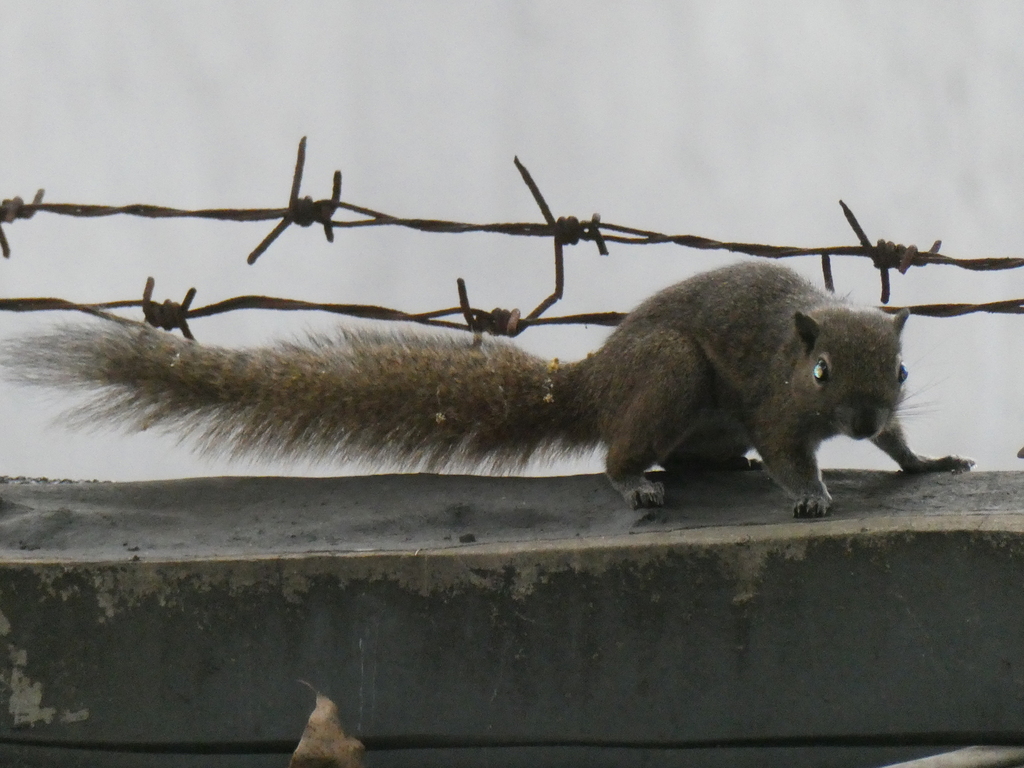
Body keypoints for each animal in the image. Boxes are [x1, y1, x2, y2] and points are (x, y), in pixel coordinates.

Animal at [1, 260, 972, 517]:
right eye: (819, 373)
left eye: (901, 370)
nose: (860, 417)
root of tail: (594, 381)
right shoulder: (775, 407)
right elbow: (788, 452)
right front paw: (811, 495)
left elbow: (902, 447)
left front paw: (922, 461)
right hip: (669, 375)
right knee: (619, 453)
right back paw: (636, 479)